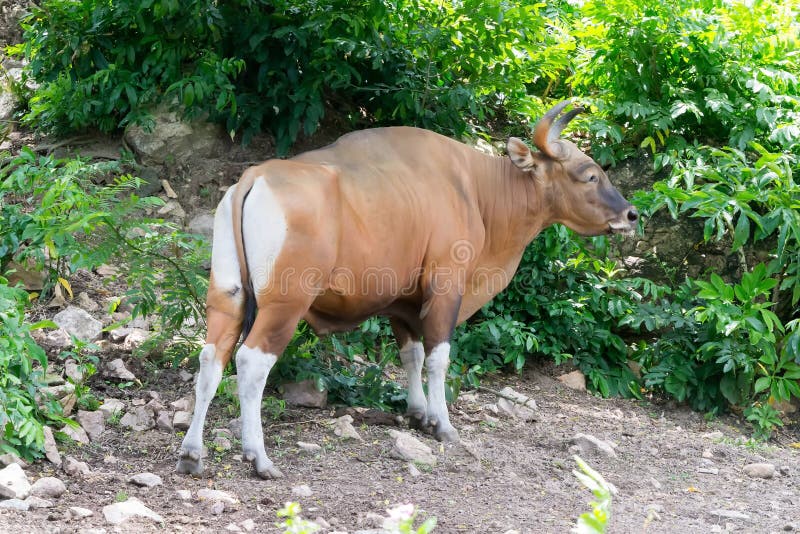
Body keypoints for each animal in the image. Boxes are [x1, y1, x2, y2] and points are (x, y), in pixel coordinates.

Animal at [176, 100, 638, 479]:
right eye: (589, 175)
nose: (631, 214)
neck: (476, 190)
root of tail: (253, 177)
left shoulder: (402, 303)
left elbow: (411, 354)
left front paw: (418, 414)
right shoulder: (446, 286)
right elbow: (438, 358)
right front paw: (443, 424)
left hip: (227, 295)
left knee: (211, 359)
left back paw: (192, 454)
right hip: (283, 306)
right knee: (251, 362)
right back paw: (259, 457)